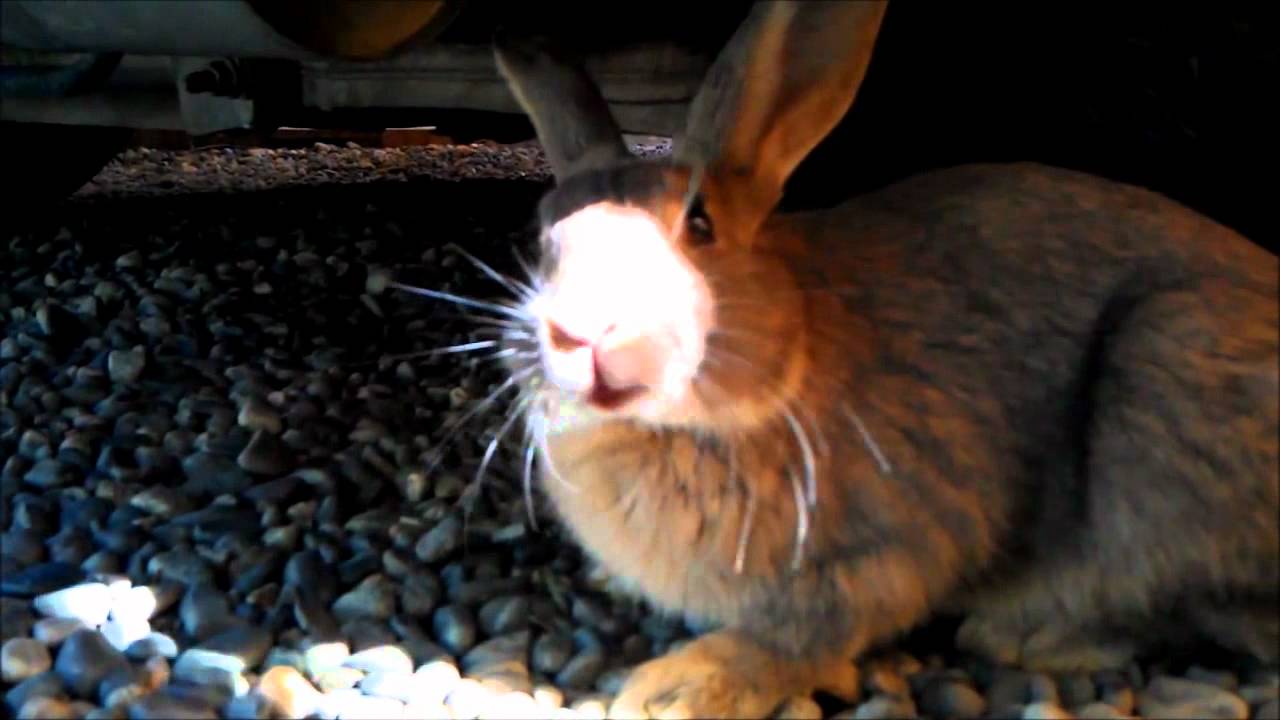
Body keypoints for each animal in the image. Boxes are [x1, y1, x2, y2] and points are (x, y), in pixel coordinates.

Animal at [488, 1, 1280, 718]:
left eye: (701, 225)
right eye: (544, 235)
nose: (584, 332)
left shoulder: (893, 547)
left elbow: (811, 629)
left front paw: (680, 689)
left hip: (1163, 381)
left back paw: (1028, 636)